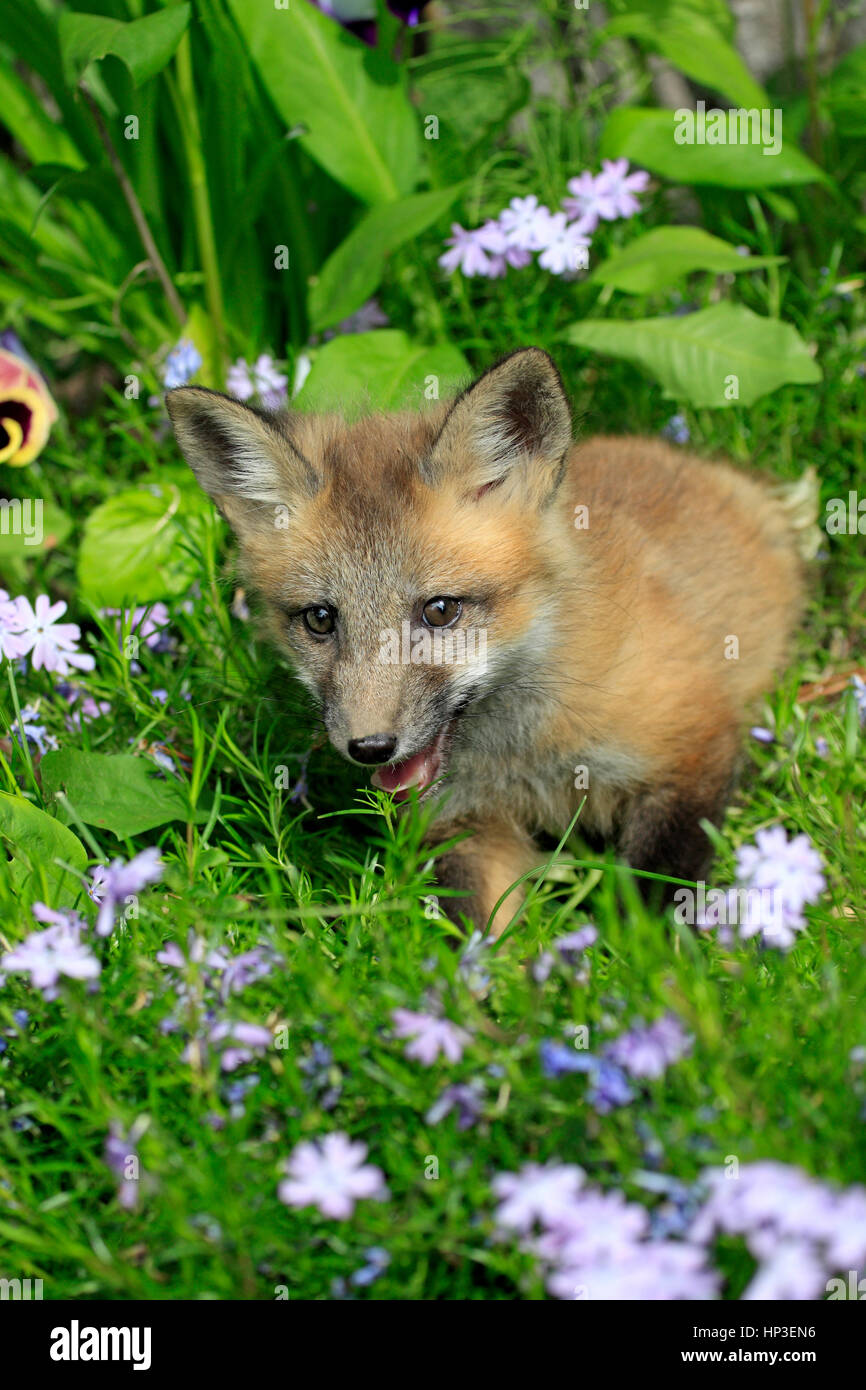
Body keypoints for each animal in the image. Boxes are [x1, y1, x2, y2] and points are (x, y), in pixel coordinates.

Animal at [166, 348, 813, 935]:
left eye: (440, 610)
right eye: (321, 620)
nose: (369, 747)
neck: (522, 756)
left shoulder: (691, 744)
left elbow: (658, 895)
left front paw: (651, 974)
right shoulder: (464, 823)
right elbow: (481, 942)